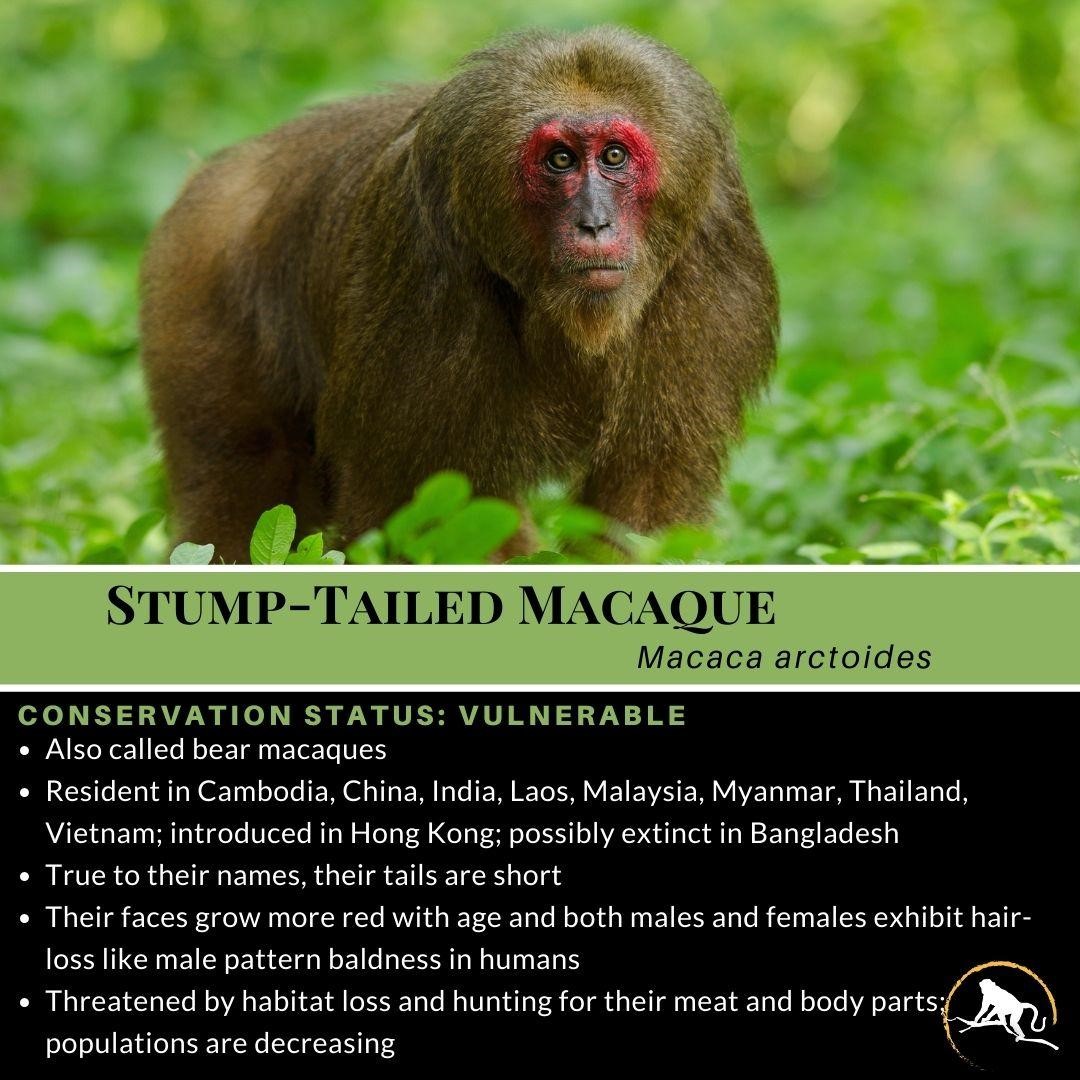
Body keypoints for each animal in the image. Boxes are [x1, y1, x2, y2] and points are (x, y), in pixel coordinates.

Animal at [140, 27, 778, 562]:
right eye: (561, 160)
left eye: (614, 156)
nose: (594, 223)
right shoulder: (420, 265)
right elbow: (424, 505)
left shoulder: (710, 266)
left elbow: (640, 498)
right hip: (199, 286)